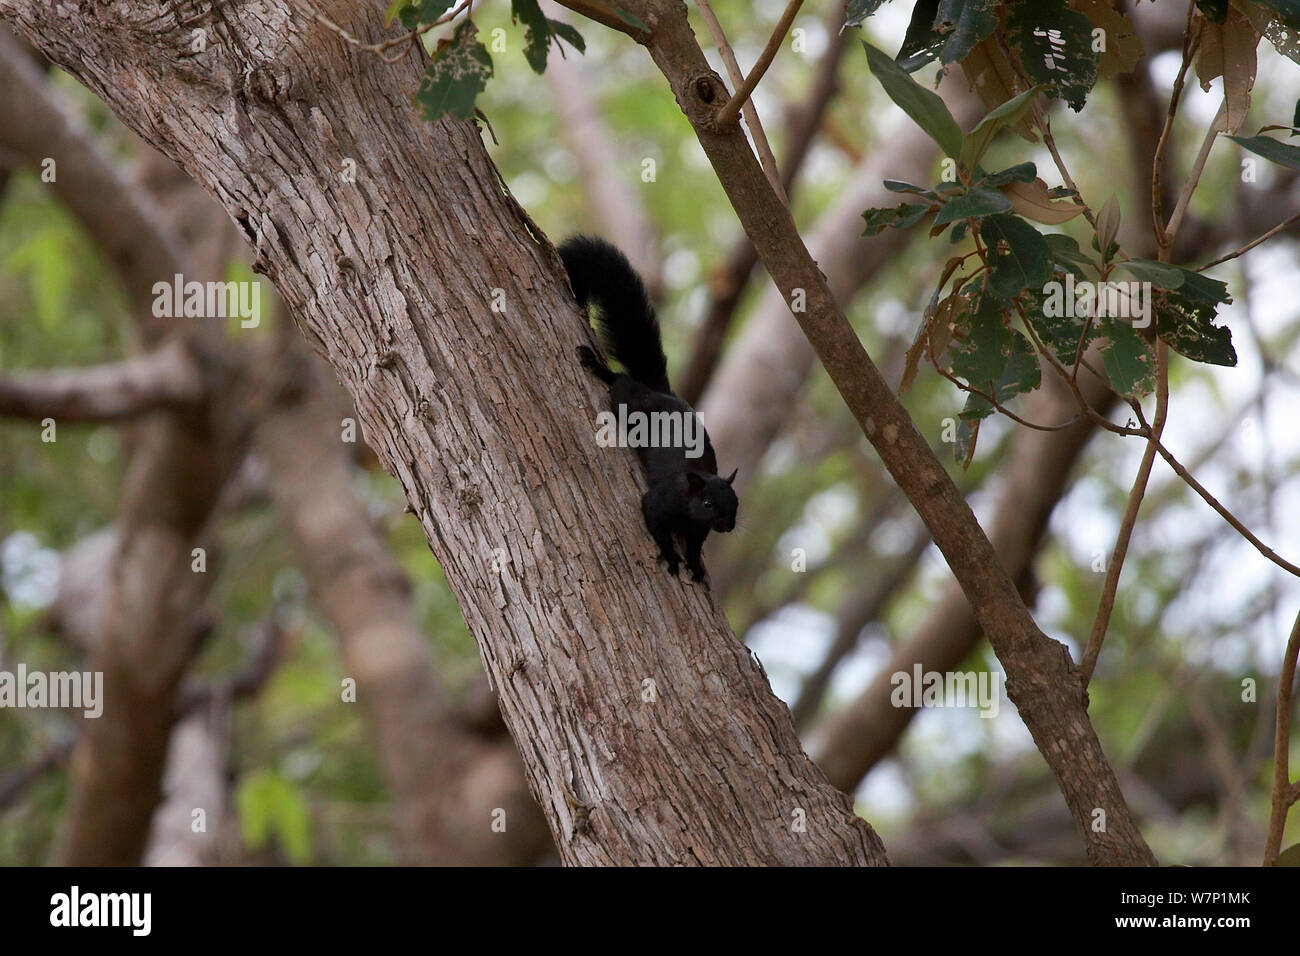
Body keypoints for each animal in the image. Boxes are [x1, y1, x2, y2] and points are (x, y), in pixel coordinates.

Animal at [560, 235, 739, 583]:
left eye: (736, 503)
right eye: (708, 503)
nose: (727, 526)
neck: (688, 508)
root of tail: (662, 393)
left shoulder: (698, 530)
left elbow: (695, 545)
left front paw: (695, 564)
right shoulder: (658, 502)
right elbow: (656, 526)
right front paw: (671, 556)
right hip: (629, 402)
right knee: (621, 383)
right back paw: (599, 368)